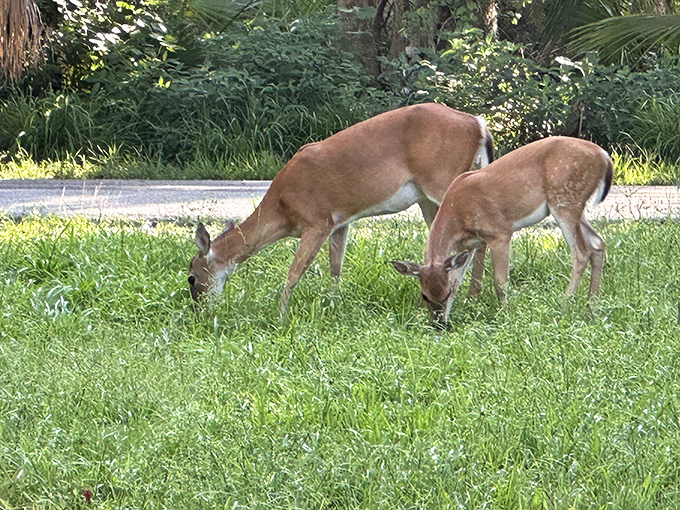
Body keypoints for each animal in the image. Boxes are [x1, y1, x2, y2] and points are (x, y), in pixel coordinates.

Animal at [187, 103, 495, 314]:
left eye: (191, 278)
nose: (199, 310)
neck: (283, 209)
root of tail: (479, 124)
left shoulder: (316, 220)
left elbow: (294, 272)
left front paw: (280, 314)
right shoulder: (340, 221)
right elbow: (335, 267)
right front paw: (332, 306)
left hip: (442, 180)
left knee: (474, 240)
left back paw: (467, 295)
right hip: (428, 197)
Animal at [391, 136, 613, 328]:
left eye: (446, 293)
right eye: (424, 295)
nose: (439, 326)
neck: (457, 213)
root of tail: (605, 157)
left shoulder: (499, 232)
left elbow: (500, 281)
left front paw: (505, 314)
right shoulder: (470, 244)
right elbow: (461, 276)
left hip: (565, 199)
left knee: (581, 252)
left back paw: (564, 305)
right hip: (575, 207)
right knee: (597, 243)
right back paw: (591, 307)